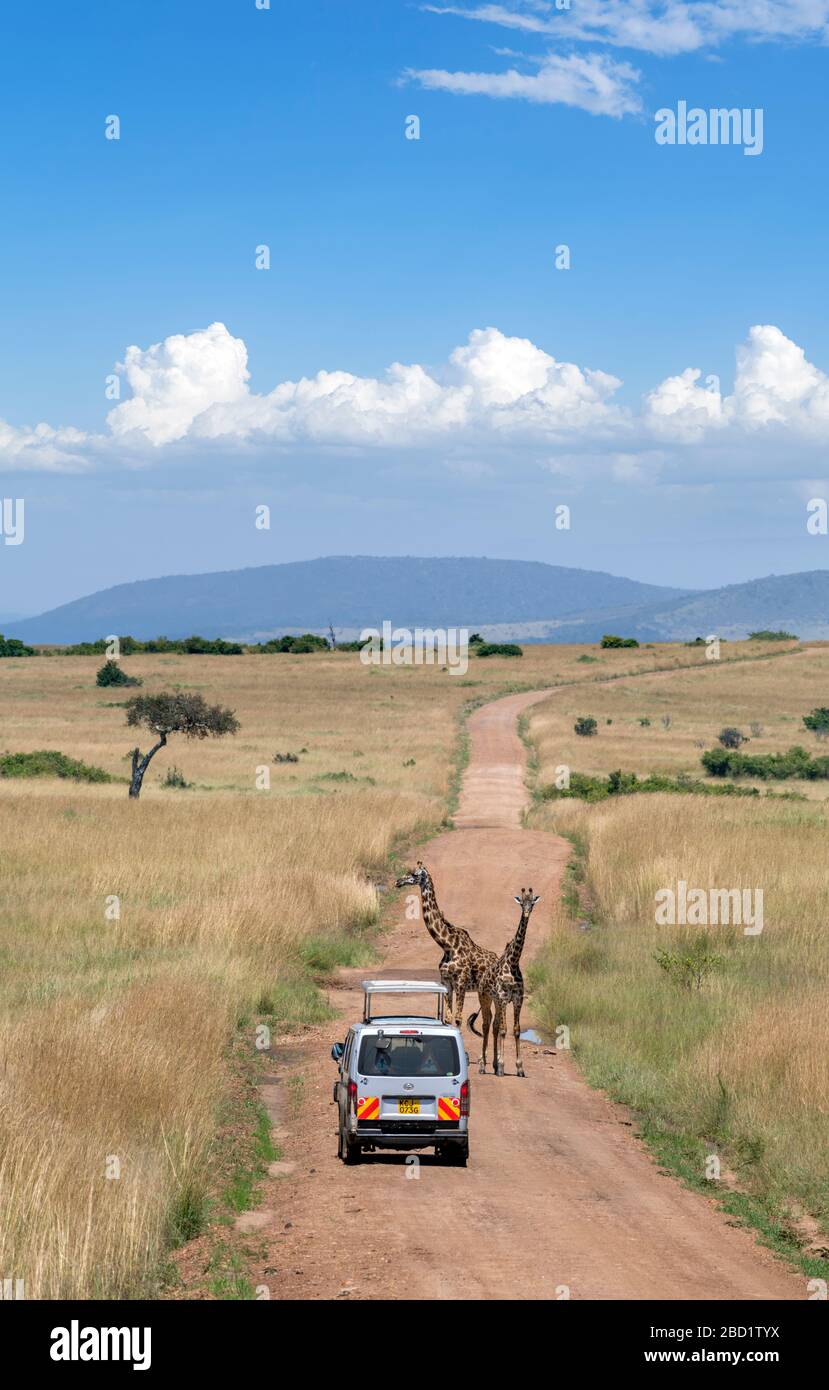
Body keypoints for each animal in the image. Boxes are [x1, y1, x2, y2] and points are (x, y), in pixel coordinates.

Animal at [395, 861, 496, 1029]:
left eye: (415, 874)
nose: (398, 882)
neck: (447, 945)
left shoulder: (461, 982)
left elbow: (458, 1018)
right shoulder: (447, 982)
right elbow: (448, 1018)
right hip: (483, 991)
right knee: (489, 1018)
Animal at [467, 886, 539, 1077]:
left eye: (532, 903)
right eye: (521, 903)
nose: (527, 914)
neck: (513, 962)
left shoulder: (517, 999)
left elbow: (515, 1030)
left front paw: (519, 1067)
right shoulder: (504, 998)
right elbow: (504, 1030)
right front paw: (501, 1065)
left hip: (496, 1001)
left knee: (494, 1025)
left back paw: (492, 1064)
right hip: (485, 998)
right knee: (486, 1025)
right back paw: (483, 1065)